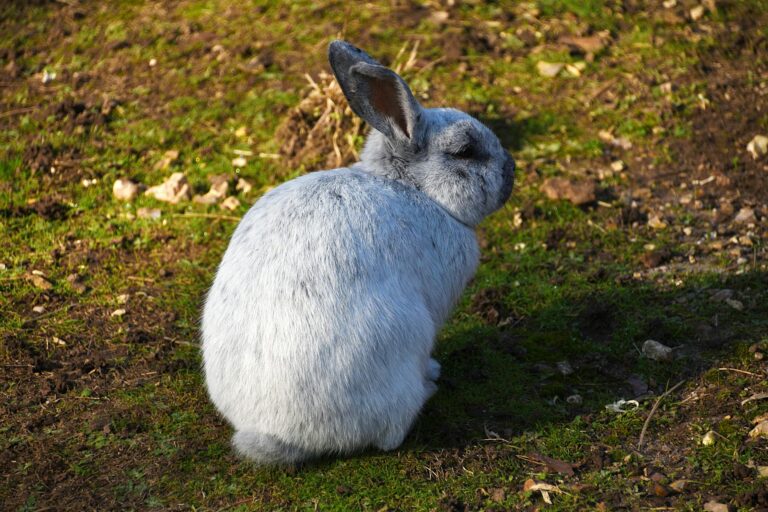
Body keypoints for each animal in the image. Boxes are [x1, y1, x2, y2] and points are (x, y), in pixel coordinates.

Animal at [201, 40, 515, 465]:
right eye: (465, 151)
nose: (511, 171)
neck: (413, 189)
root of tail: (276, 434)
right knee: (390, 434)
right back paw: (428, 386)